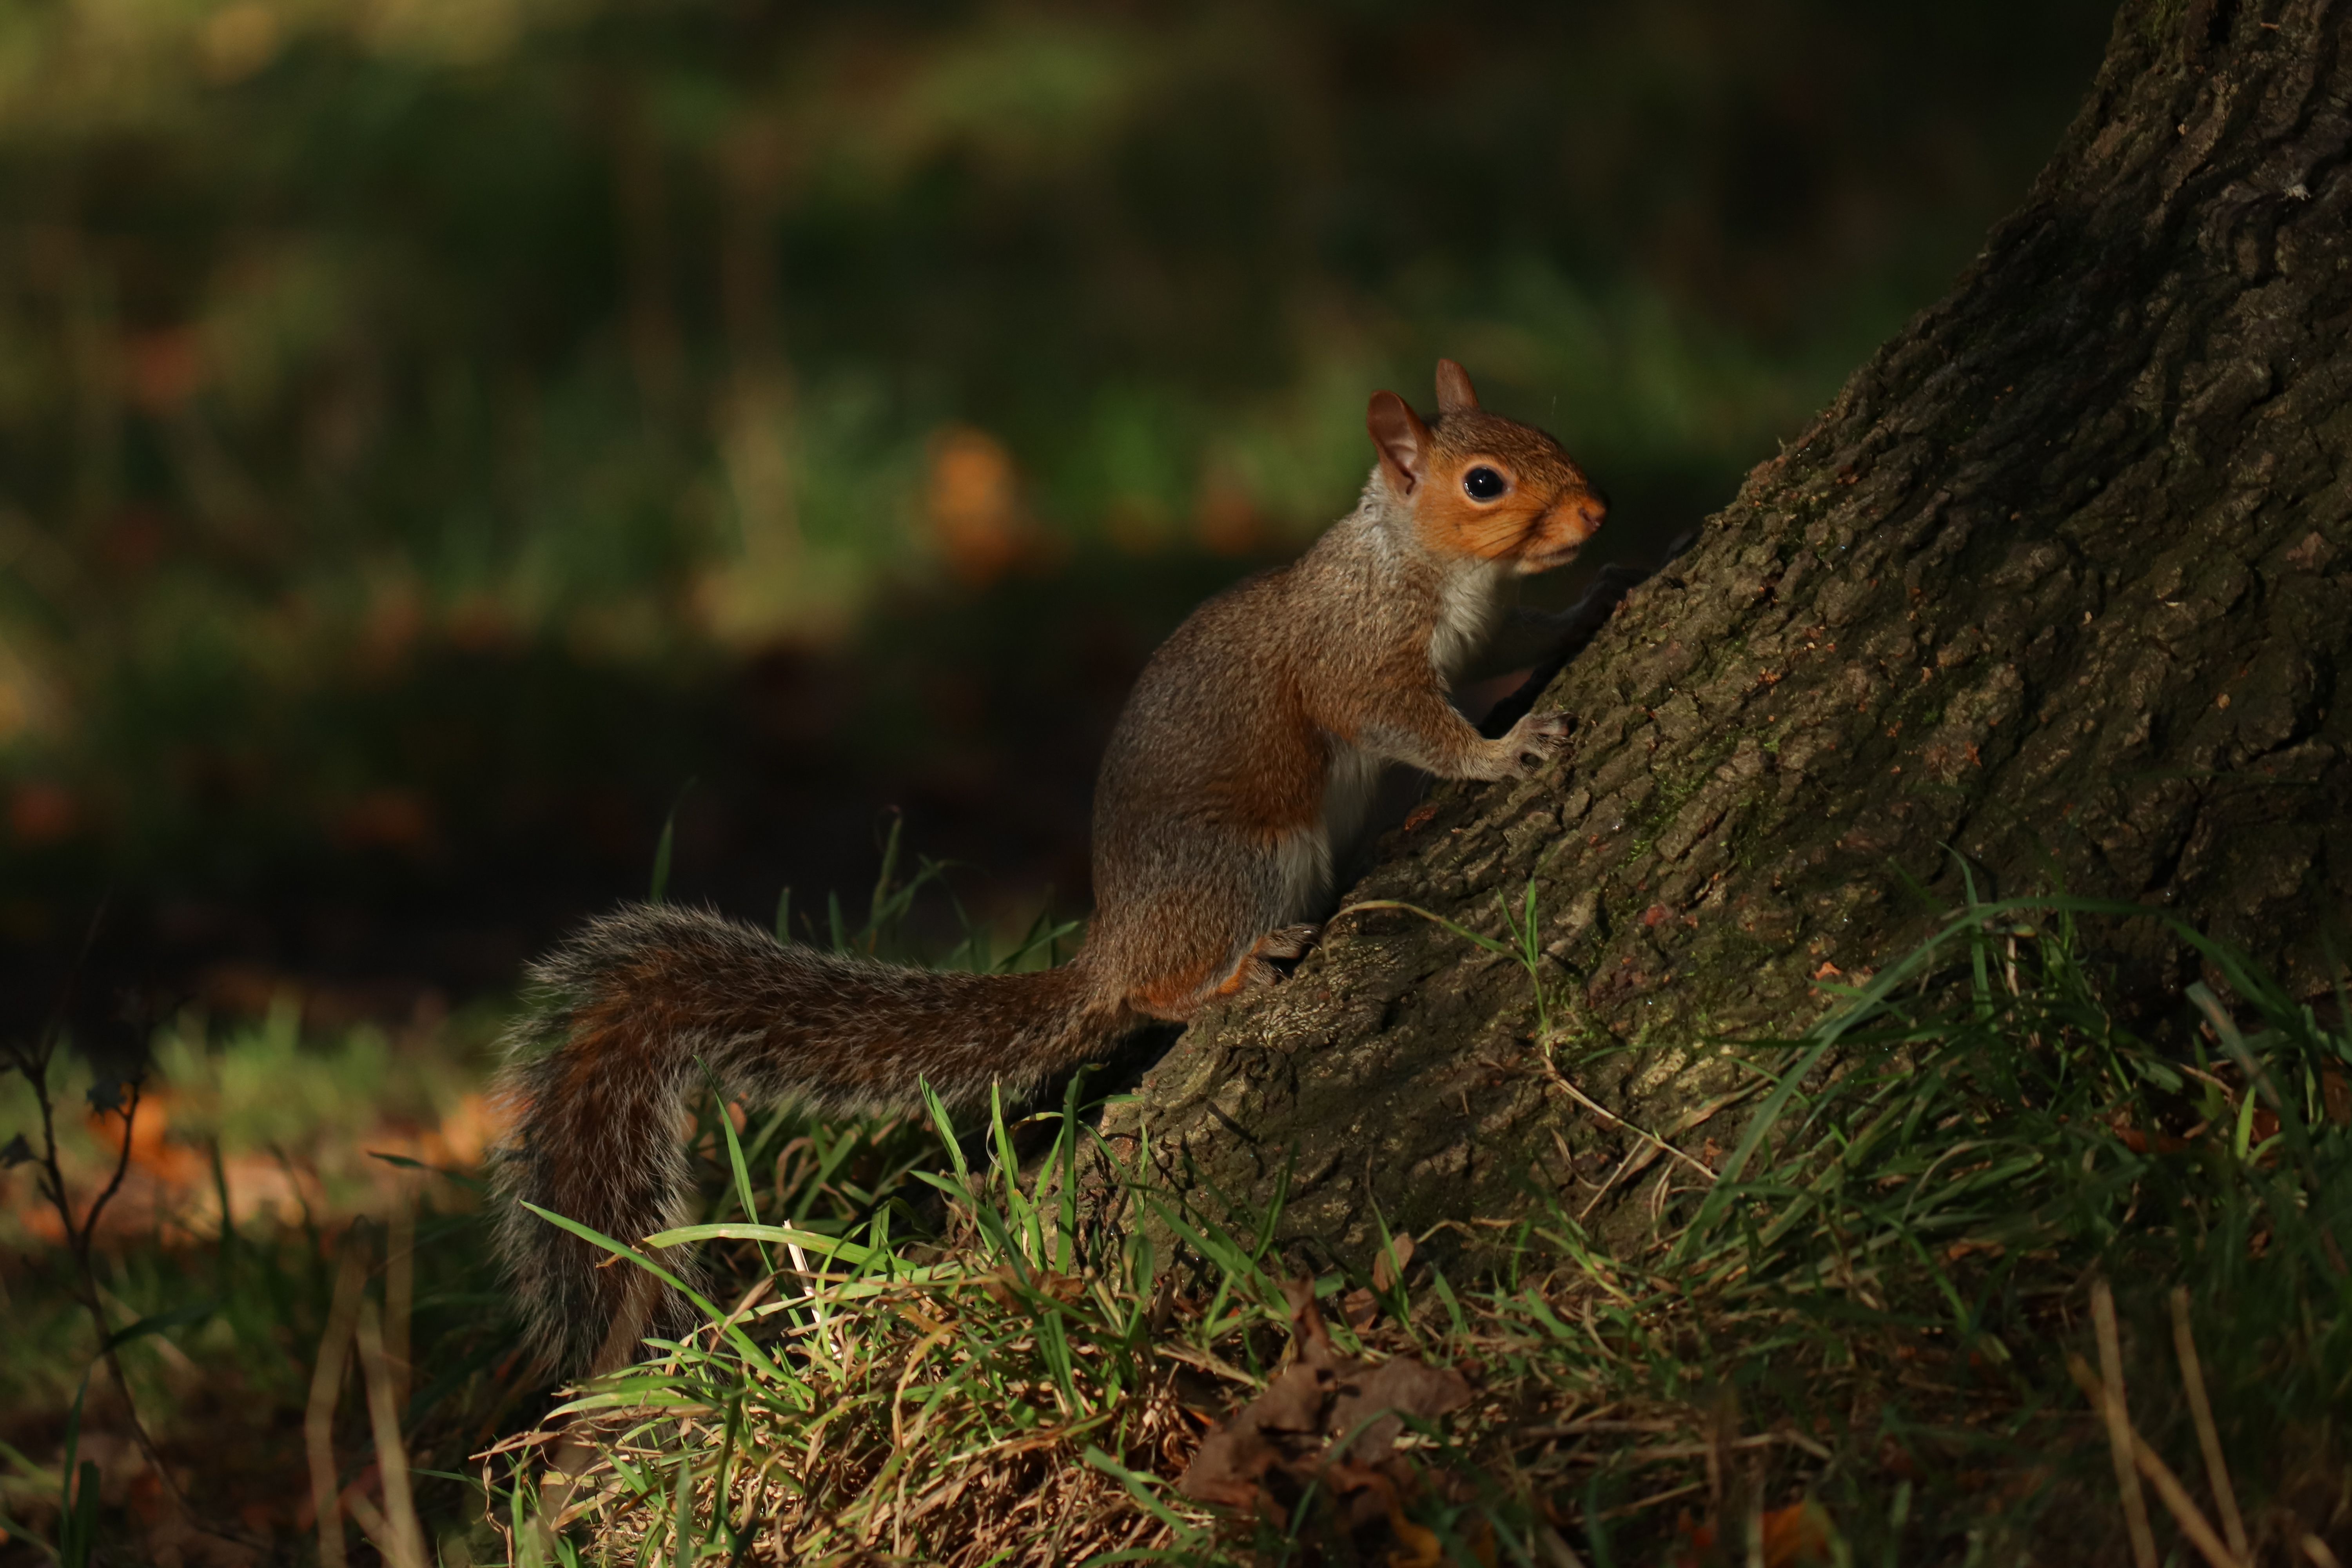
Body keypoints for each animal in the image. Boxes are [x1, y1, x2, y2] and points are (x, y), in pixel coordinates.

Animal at [491, 359, 1611, 1375]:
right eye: (1482, 483)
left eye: (1548, 431)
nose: (1597, 512)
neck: (1426, 565)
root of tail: (1109, 950)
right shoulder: (1358, 655)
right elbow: (1411, 724)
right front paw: (1504, 752)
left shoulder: (1478, 635)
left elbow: (1508, 644)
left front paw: (1587, 606)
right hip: (1242, 866)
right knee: (1159, 993)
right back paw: (1233, 975)